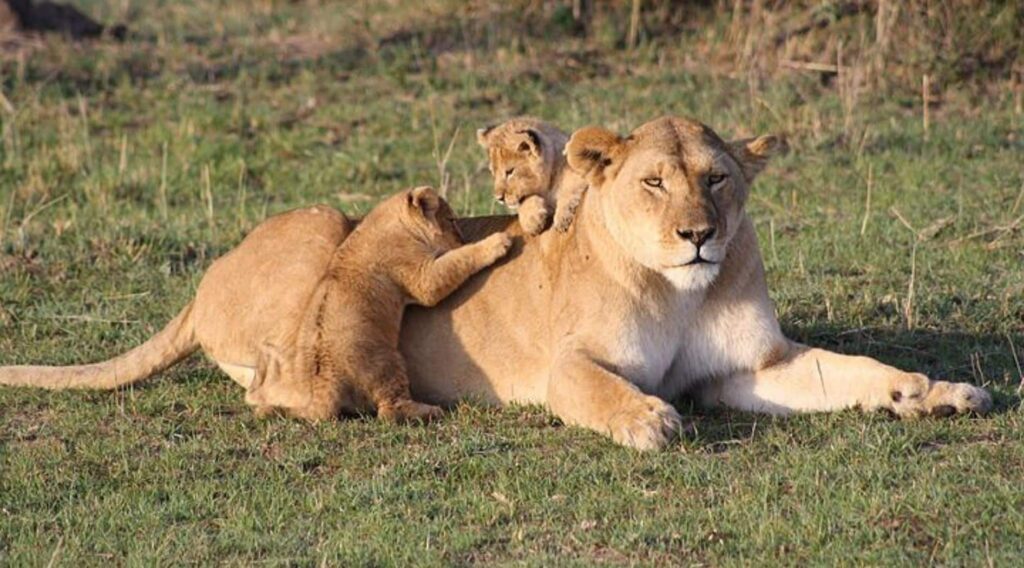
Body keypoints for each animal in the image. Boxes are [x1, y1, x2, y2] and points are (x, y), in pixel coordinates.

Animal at [244, 186, 512, 423]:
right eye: (452, 219)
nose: (463, 239)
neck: (388, 219)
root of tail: (325, 384)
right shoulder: (420, 276)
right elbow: (456, 262)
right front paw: (498, 242)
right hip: (388, 363)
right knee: (389, 412)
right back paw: (430, 410)